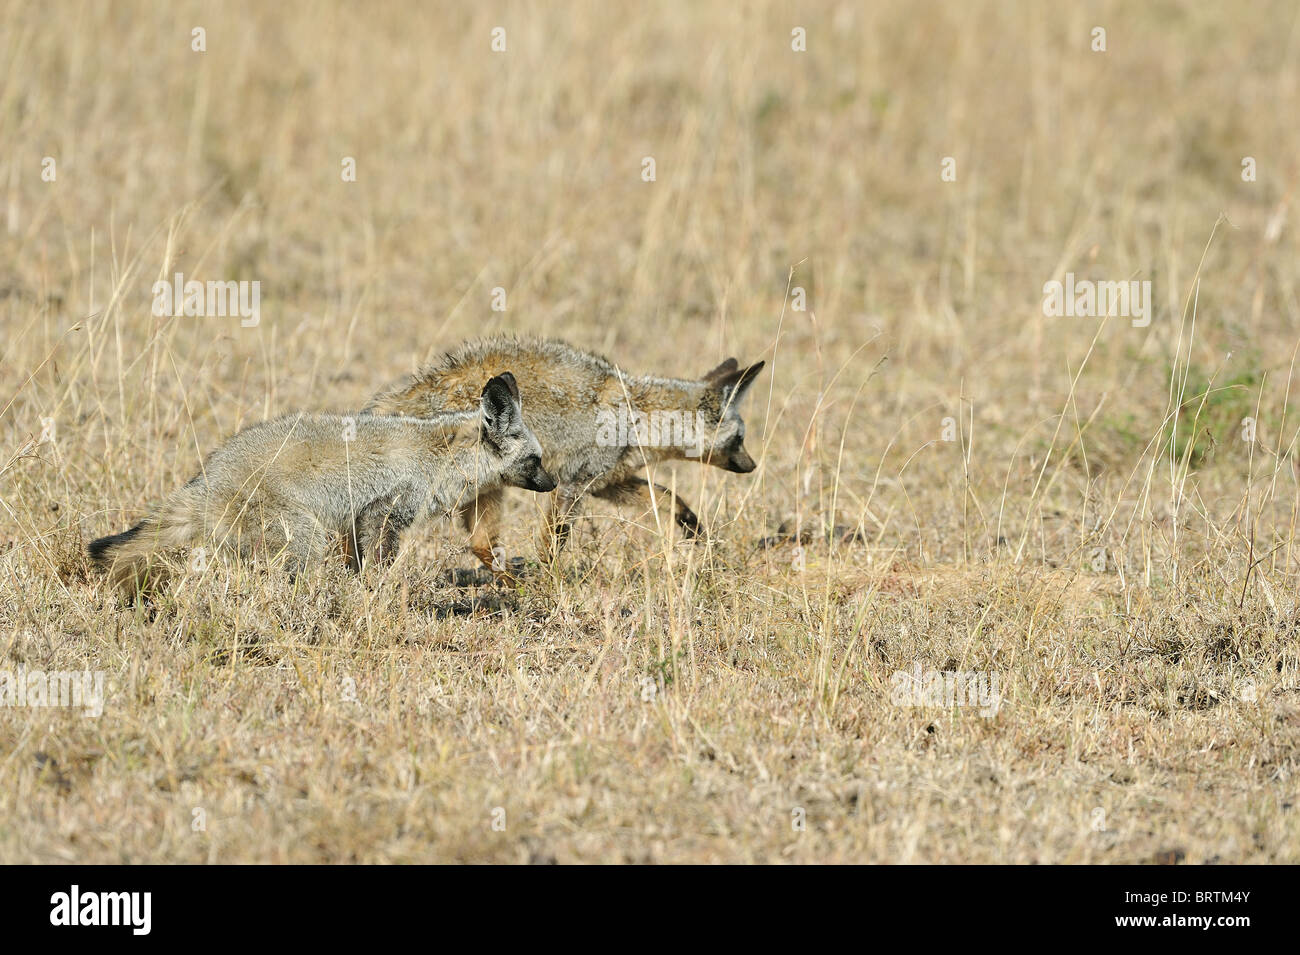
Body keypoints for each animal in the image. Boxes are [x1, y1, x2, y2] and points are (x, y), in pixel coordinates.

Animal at [88, 373, 555, 597]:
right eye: (536, 460)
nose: (552, 484)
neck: (442, 455)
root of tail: (208, 481)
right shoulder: (385, 512)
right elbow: (377, 567)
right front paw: (374, 596)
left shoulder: (359, 521)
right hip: (305, 538)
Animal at [364, 336, 765, 572]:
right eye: (740, 439)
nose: (753, 466)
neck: (638, 413)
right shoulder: (572, 484)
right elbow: (554, 543)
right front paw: (550, 581)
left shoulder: (606, 483)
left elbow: (670, 498)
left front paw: (697, 533)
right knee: (478, 543)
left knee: (479, 544)